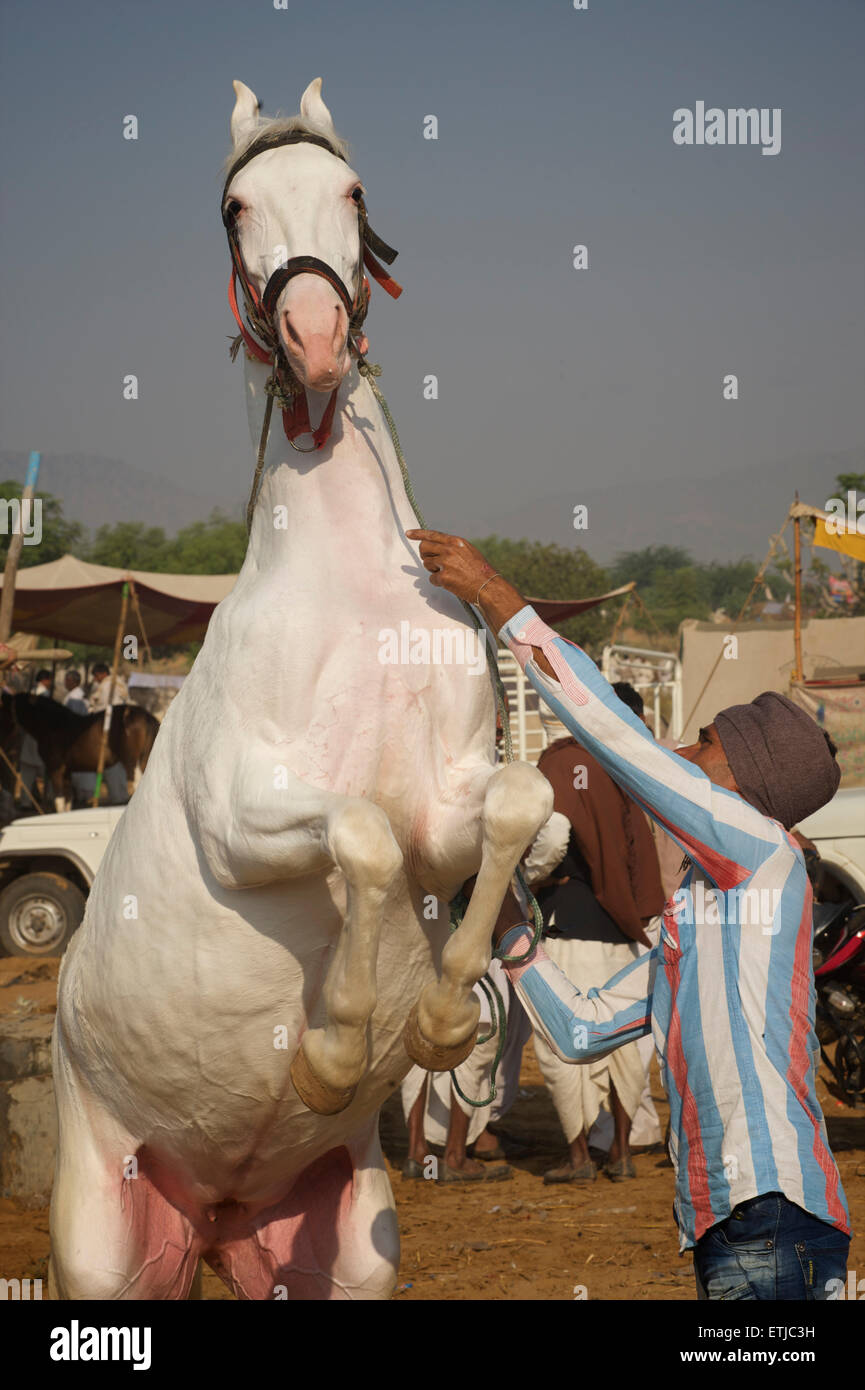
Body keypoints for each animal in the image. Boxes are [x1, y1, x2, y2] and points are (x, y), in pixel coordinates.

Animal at [1, 692, 159, 811]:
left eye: (1, 709)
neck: (53, 726)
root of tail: (147, 716)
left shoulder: (55, 769)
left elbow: (59, 801)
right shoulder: (67, 771)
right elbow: (67, 802)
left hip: (131, 762)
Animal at [49, 78, 552, 1300]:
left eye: (353, 190)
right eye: (235, 208)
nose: (318, 341)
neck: (355, 603)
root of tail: (216, 1215)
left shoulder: (449, 803)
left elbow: (517, 808)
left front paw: (438, 1024)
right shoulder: (243, 818)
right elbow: (361, 835)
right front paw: (330, 1053)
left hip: (345, 1253)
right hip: (100, 1247)